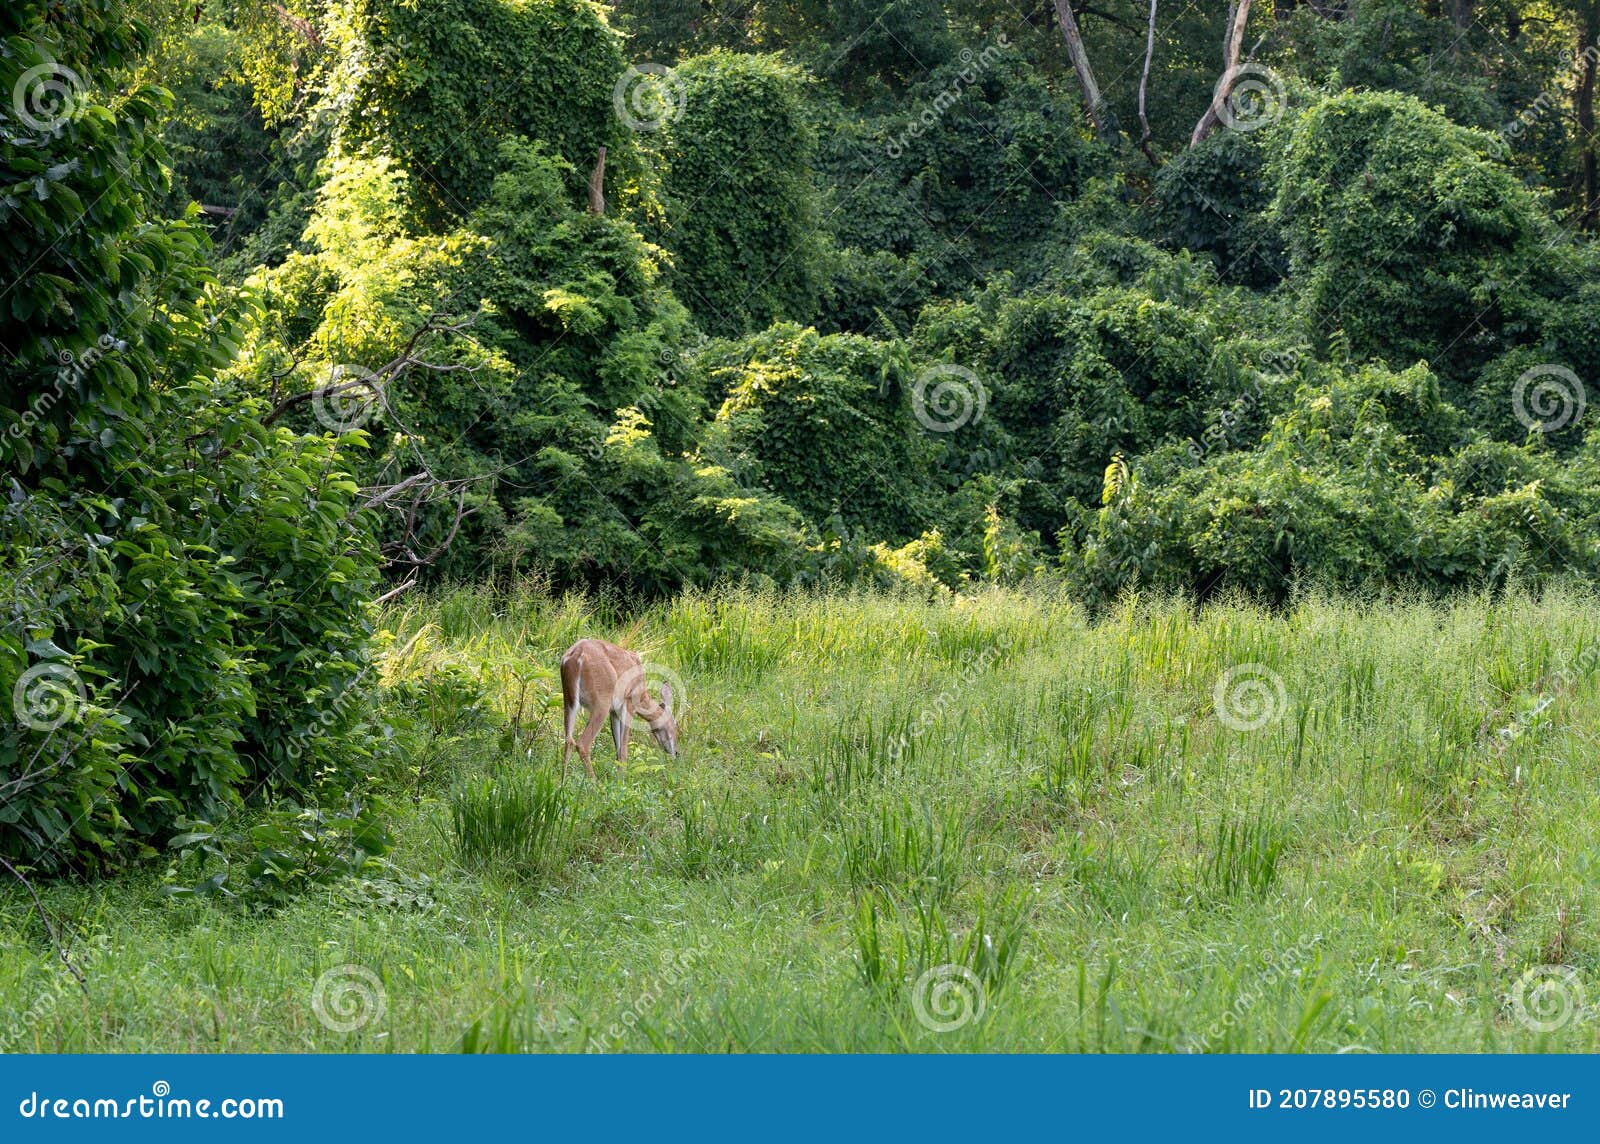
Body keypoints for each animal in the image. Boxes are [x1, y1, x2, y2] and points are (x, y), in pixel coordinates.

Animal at [559, 638, 679, 780]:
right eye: (675, 725)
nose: (676, 752)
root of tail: (575, 656)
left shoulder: (614, 712)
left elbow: (618, 747)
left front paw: (618, 778)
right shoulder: (629, 702)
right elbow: (624, 749)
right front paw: (622, 781)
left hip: (569, 701)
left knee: (568, 740)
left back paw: (563, 782)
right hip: (601, 703)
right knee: (582, 744)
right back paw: (594, 782)